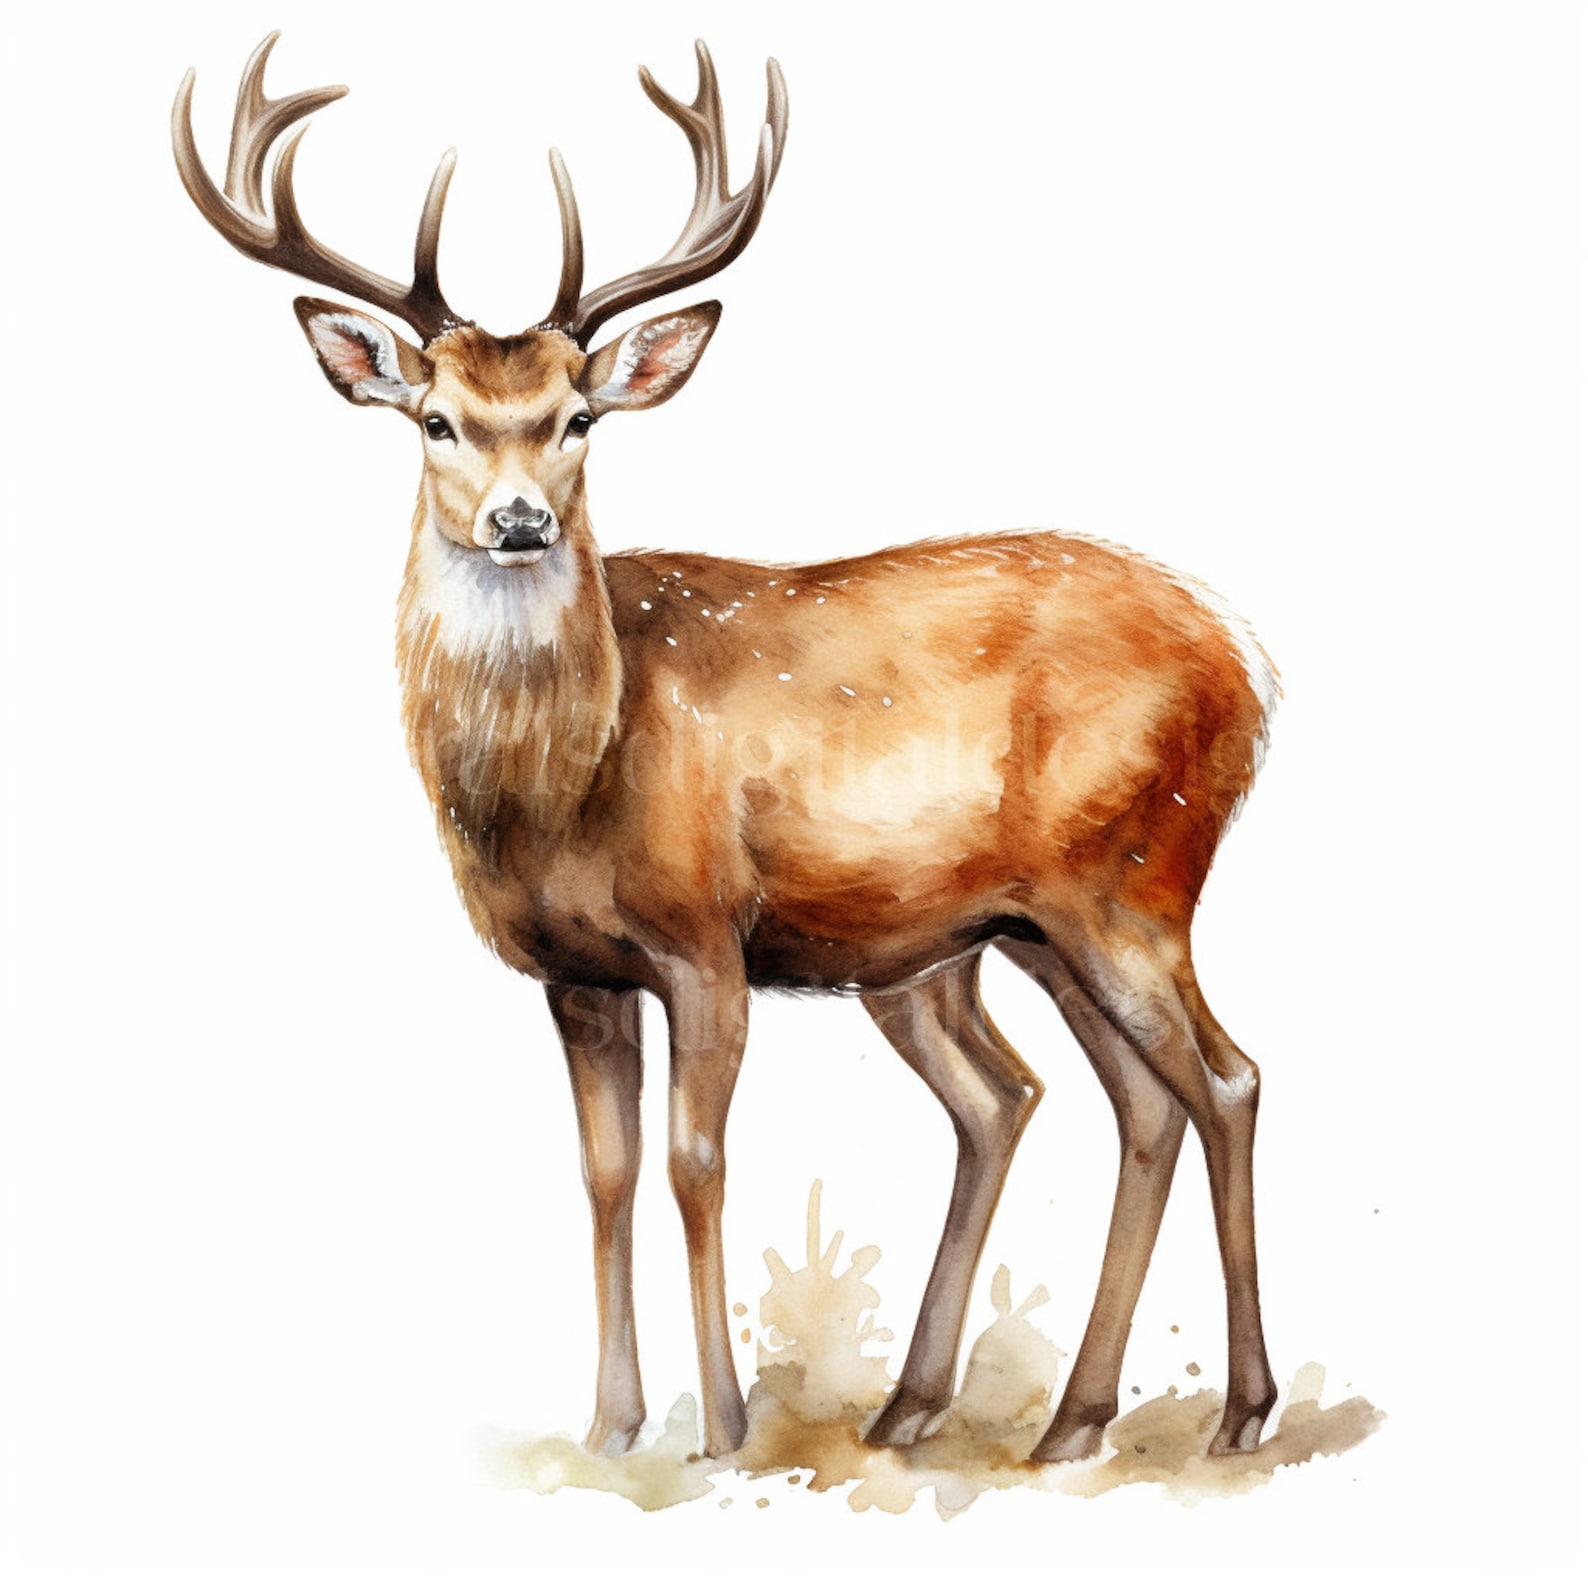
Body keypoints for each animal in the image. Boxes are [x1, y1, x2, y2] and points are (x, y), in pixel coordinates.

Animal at [172, 33, 1281, 1465]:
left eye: (579, 417)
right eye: (435, 419)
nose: (521, 521)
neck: (566, 785)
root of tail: (1247, 671)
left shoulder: (705, 936)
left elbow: (697, 1162)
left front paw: (721, 1428)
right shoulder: (574, 973)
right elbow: (605, 1171)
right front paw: (610, 1425)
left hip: (1134, 874)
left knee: (1224, 1079)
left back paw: (1236, 1409)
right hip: (996, 934)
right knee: (1075, 1100)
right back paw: (1010, 1415)